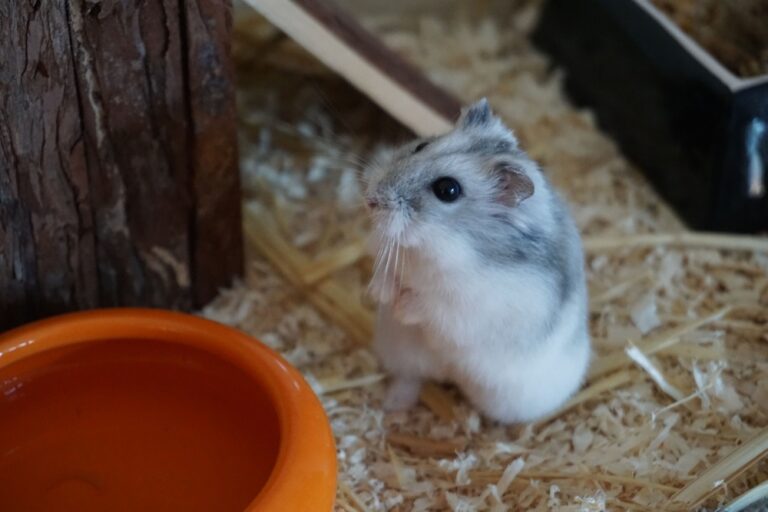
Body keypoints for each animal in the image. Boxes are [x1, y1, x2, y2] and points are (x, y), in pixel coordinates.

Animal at [363, 99, 591, 424]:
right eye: (421, 146)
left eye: (448, 189)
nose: (370, 199)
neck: (439, 243)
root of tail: (448, 373)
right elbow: (385, 271)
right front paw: (381, 295)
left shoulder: (472, 307)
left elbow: (432, 306)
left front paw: (401, 306)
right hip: (400, 350)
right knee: (411, 378)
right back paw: (393, 408)